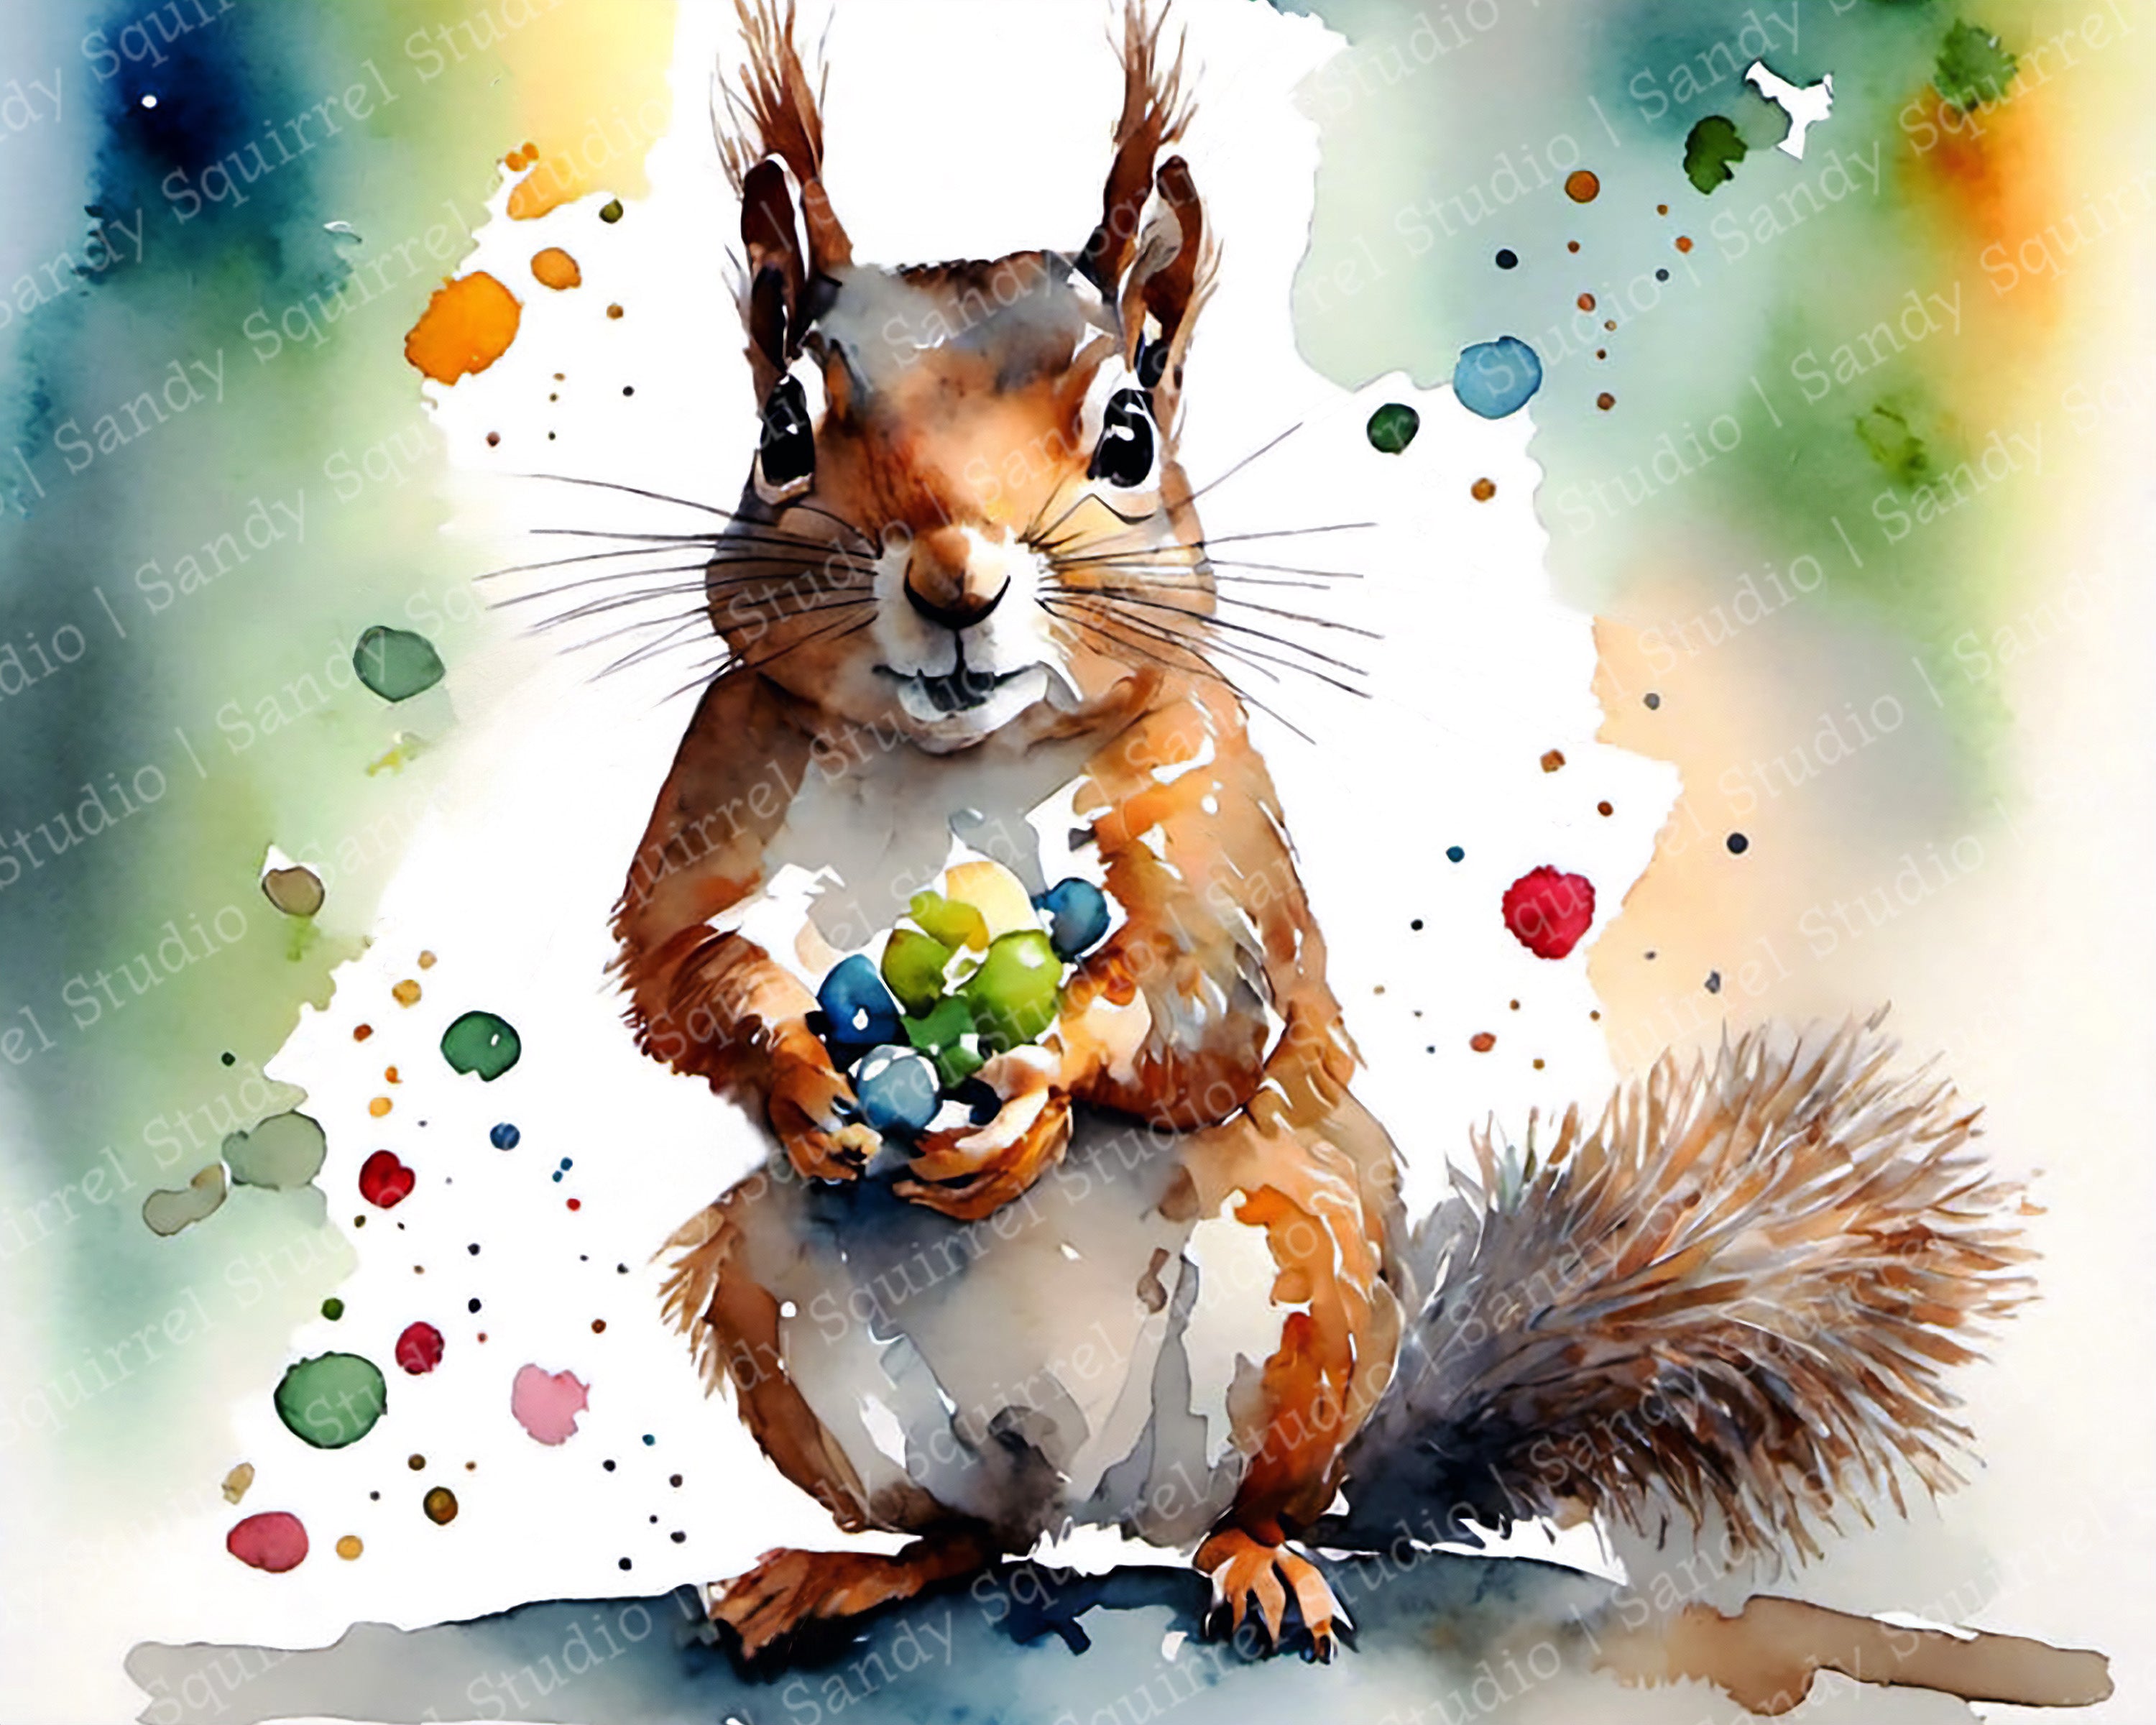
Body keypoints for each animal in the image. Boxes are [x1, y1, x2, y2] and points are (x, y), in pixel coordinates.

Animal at [611, 0, 2026, 1662]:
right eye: (782, 428)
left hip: (1304, 1279)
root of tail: (1077, 1487)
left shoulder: (1211, 799)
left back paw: (1258, 1562)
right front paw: (796, 1071)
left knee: (1254, 1494)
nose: (957, 581)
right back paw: (855, 1567)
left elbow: (1208, 999)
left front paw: (1034, 1090)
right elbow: (668, 961)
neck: (947, 761)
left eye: (1129, 434)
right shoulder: (723, 774)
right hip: (775, 1295)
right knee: (968, 1530)